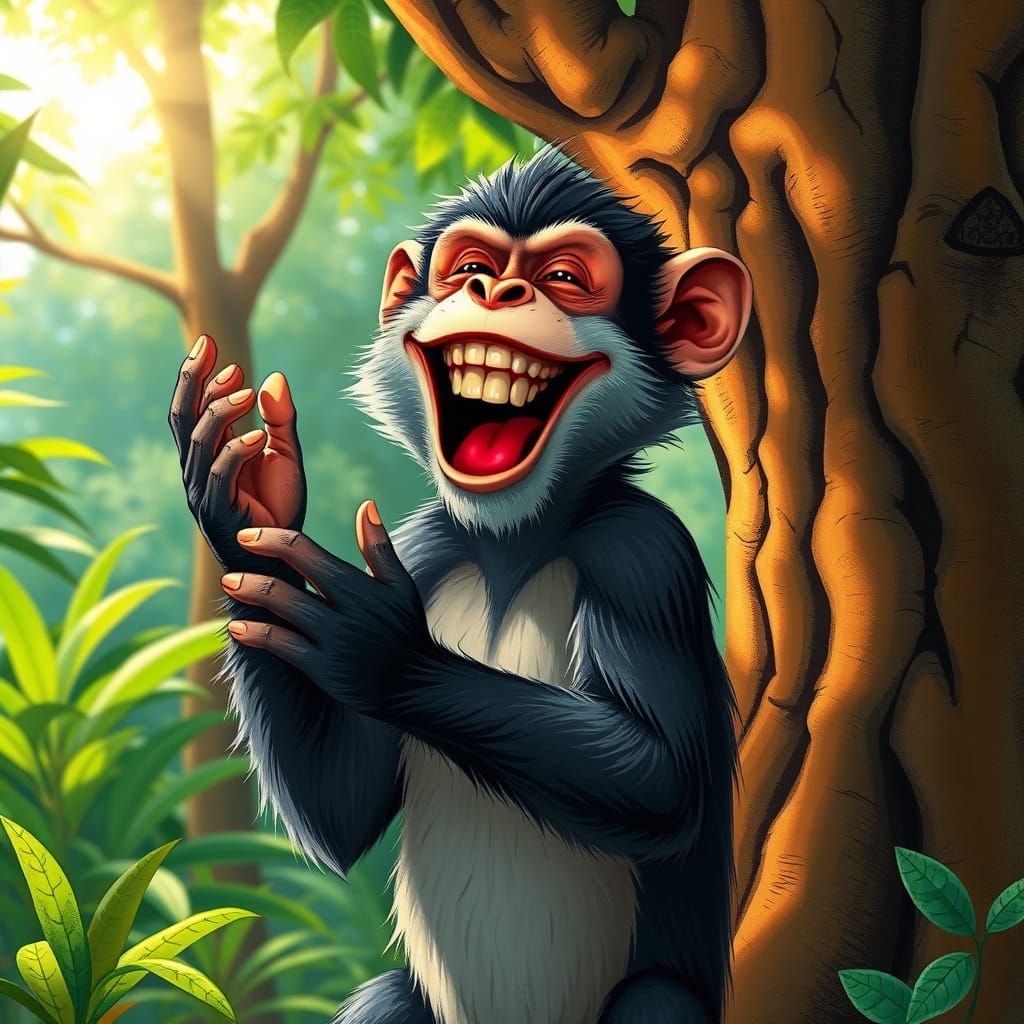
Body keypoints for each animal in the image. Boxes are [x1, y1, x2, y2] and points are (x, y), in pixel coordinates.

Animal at [169, 148, 752, 1024]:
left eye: (565, 277)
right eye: (471, 268)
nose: (494, 292)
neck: (513, 544)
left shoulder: (645, 556)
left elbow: (659, 779)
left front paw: (378, 649)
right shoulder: (426, 543)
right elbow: (342, 810)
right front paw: (241, 499)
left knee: (655, 1000)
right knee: (383, 1000)